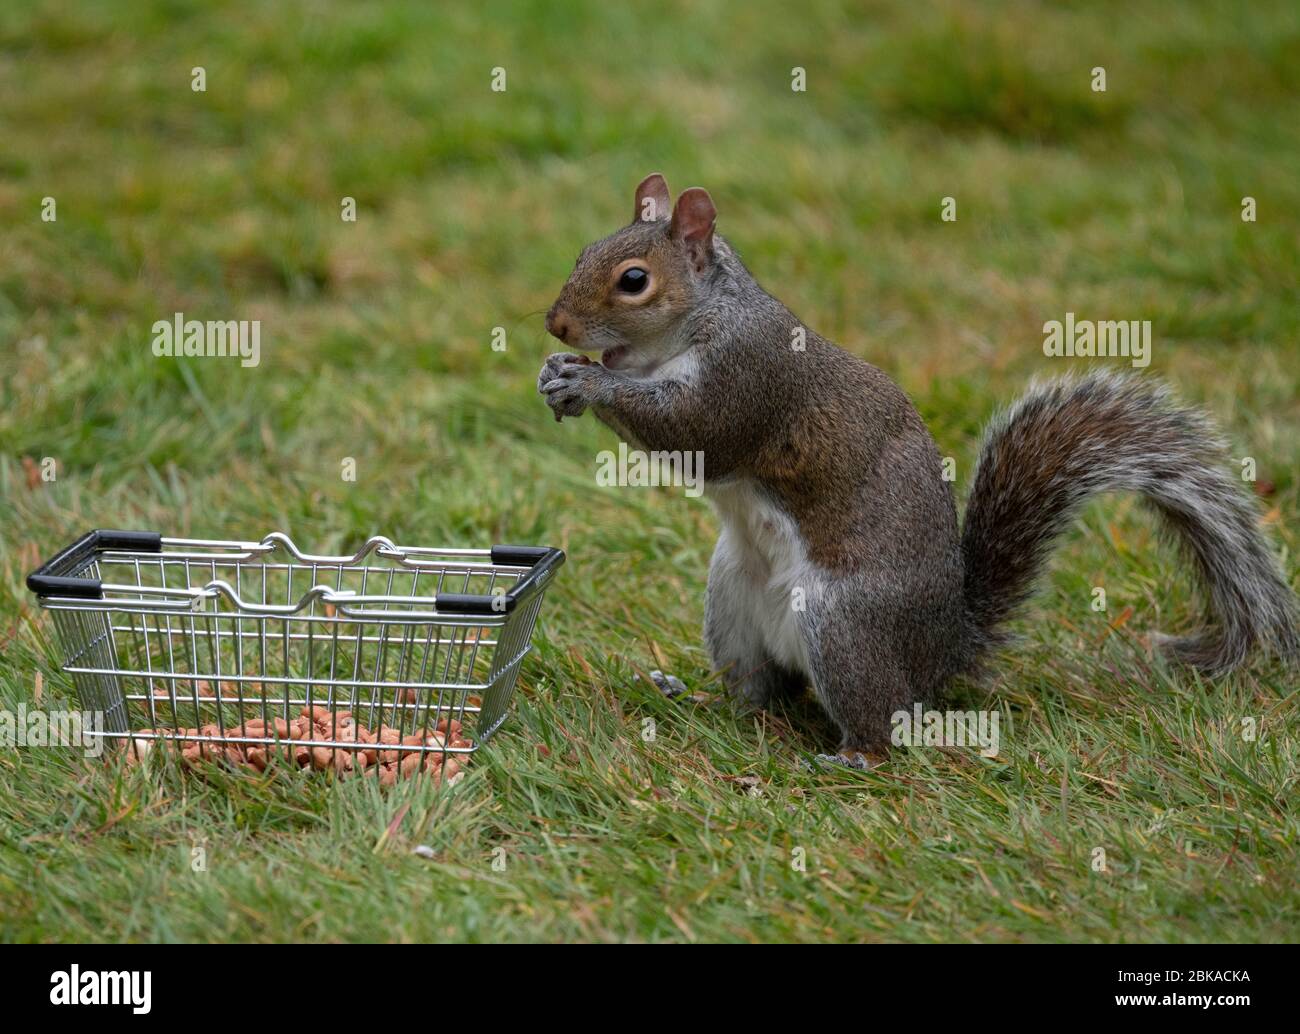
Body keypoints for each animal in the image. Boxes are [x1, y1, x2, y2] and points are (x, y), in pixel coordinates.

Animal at [537, 173, 1299, 767]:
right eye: (581, 252)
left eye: (634, 281)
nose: (556, 326)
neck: (695, 324)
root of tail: (943, 652)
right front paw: (558, 374)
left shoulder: (750, 379)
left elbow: (696, 434)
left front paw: (591, 383)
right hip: (731, 603)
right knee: (762, 695)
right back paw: (699, 699)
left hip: (844, 624)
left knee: (880, 721)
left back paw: (851, 757)